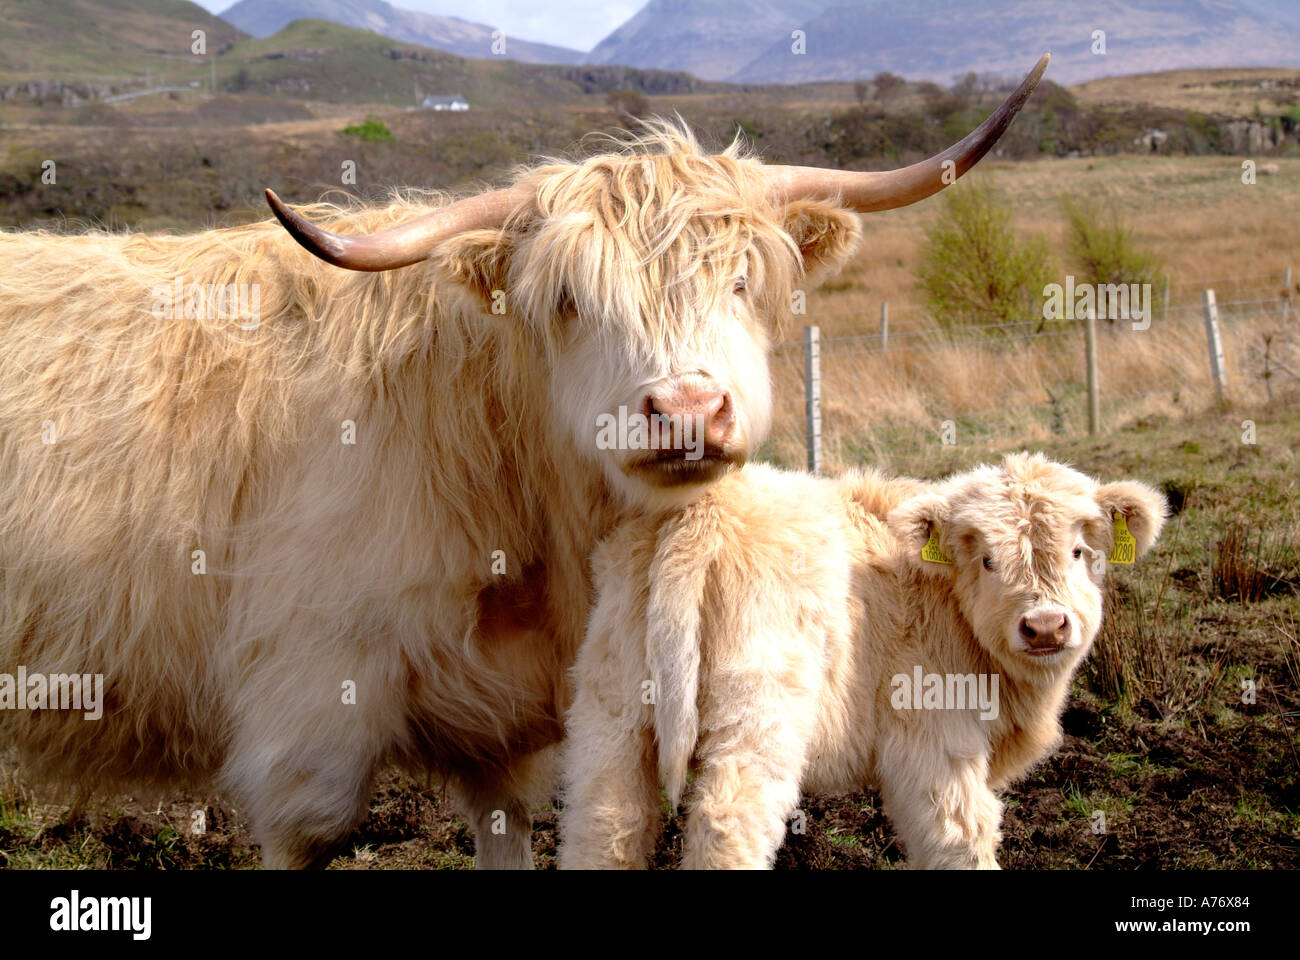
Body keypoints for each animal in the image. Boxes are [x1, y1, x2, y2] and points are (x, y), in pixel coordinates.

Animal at [0, 56, 1048, 869]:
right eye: (570, 300)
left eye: (743, 280)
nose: (685, 409)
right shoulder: (306, 705)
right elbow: (311, 829)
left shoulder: (499, 735)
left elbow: (507, 830)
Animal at [558, 454, 1166, 869]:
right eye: (987, 560)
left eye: (1079, 552)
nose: (1043, 626)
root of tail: (701, 515)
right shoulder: (935, 740)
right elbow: (960, 835)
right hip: (757, 716)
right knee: (725, 826)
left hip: (613, 708)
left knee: (604, 825)